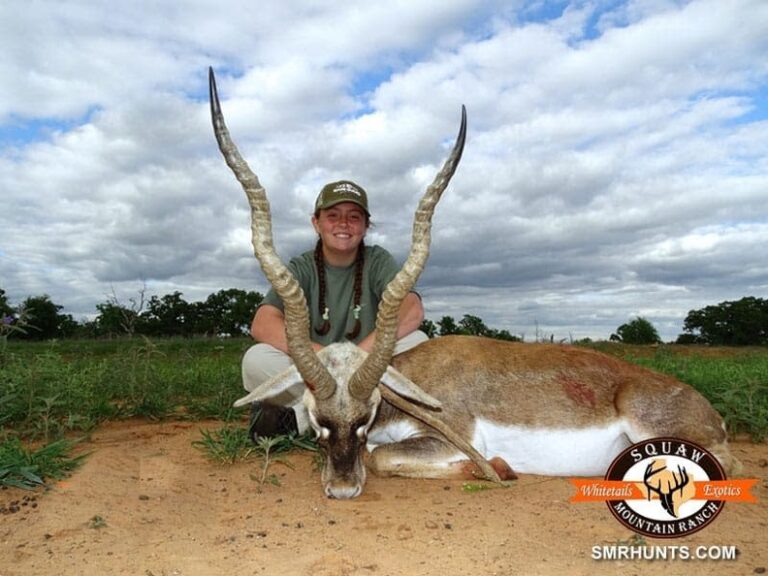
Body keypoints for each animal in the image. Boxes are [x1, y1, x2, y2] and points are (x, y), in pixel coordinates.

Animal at [209, 68, 737, 499]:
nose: (341, 490)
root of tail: (709, 412)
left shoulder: (451, 436)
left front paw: (497, 469)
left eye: (364, 418)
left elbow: (381, 457)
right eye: (319, 419)